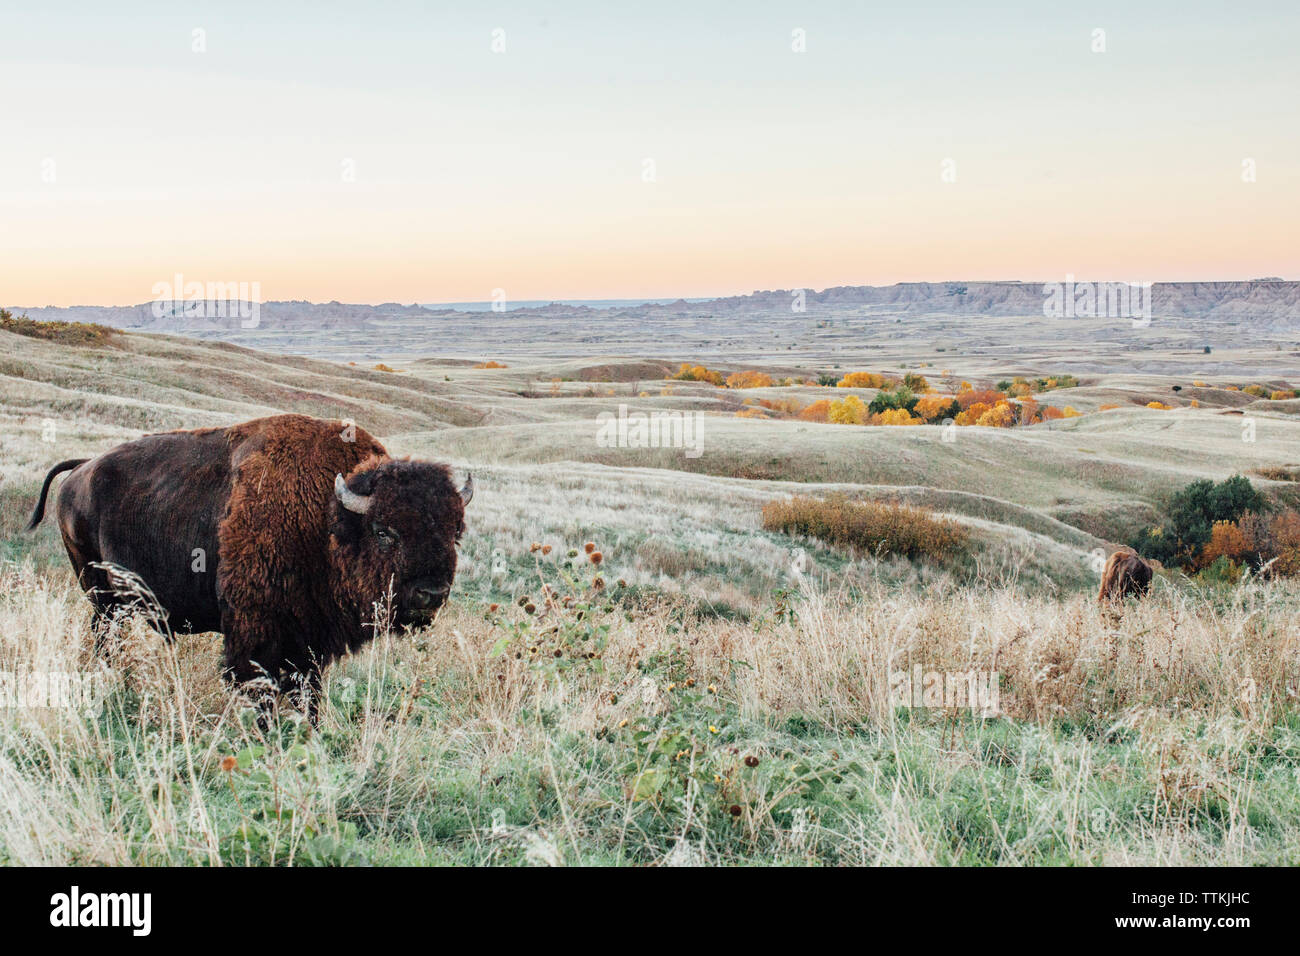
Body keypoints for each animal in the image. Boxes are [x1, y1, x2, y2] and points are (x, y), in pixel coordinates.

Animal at [26, 413, 472, 719]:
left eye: (455, 532)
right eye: (383, 531)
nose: (430, 594)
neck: (327, 518)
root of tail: (83, 469)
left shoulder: (308, 638)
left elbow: (307, 691)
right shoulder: (255, 632)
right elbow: (258, 686)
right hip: (99, 591)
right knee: (106, 635)